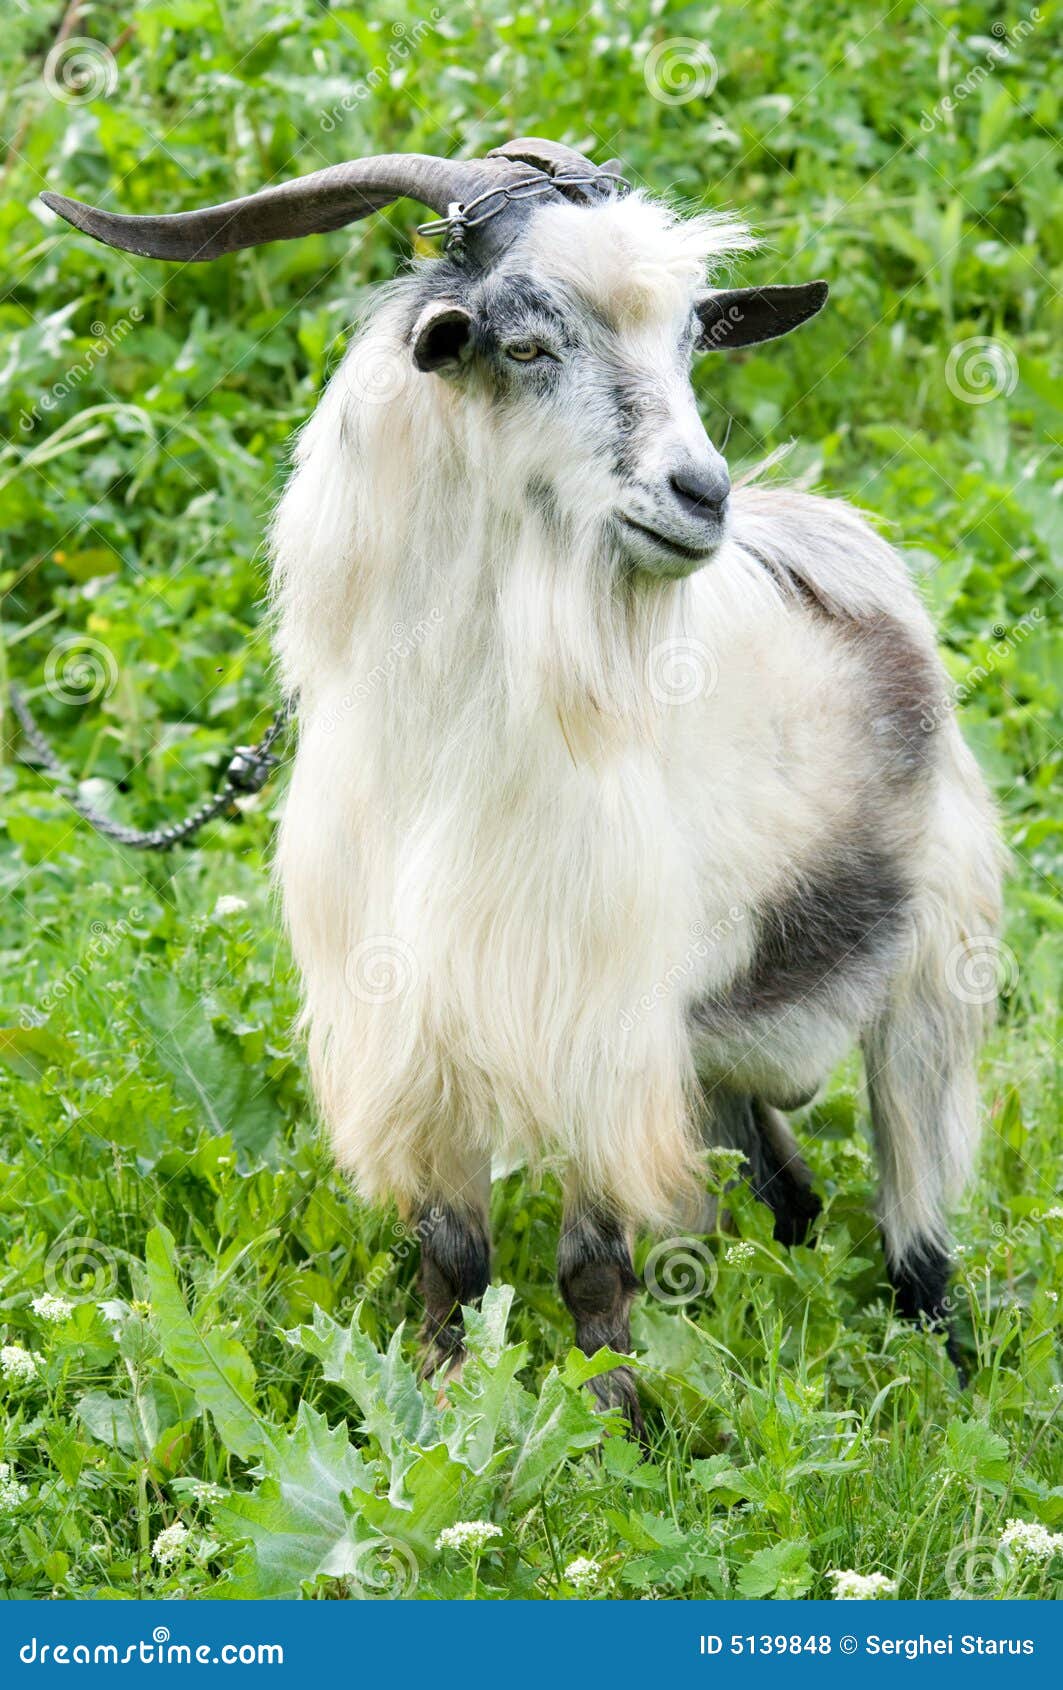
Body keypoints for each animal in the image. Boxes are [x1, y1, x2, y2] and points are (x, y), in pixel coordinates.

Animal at [44, 138, 1002, 1432]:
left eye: (690, 342)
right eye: (528, 344)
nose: (700, 496)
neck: (451, 748)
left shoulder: (593, 1019)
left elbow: (592, 1257)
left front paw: (617, 1418)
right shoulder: (417, 1023)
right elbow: (451, 1250)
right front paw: (443, 1398)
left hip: (930, 979)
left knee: (917, 1213)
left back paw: (943, 1365)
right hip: (721, 1037)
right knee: (786, 1181)